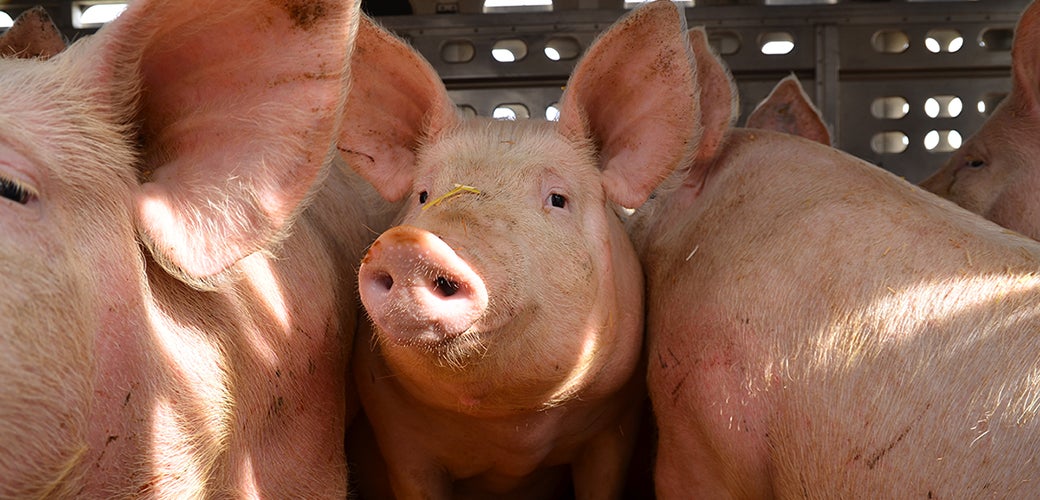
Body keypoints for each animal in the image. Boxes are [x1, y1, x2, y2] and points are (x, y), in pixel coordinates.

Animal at [337, 2, 697, 498]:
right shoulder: (399, 439)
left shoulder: (615, 424)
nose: (411, 247)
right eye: (423, 195)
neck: (510, 427)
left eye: (557, 199)